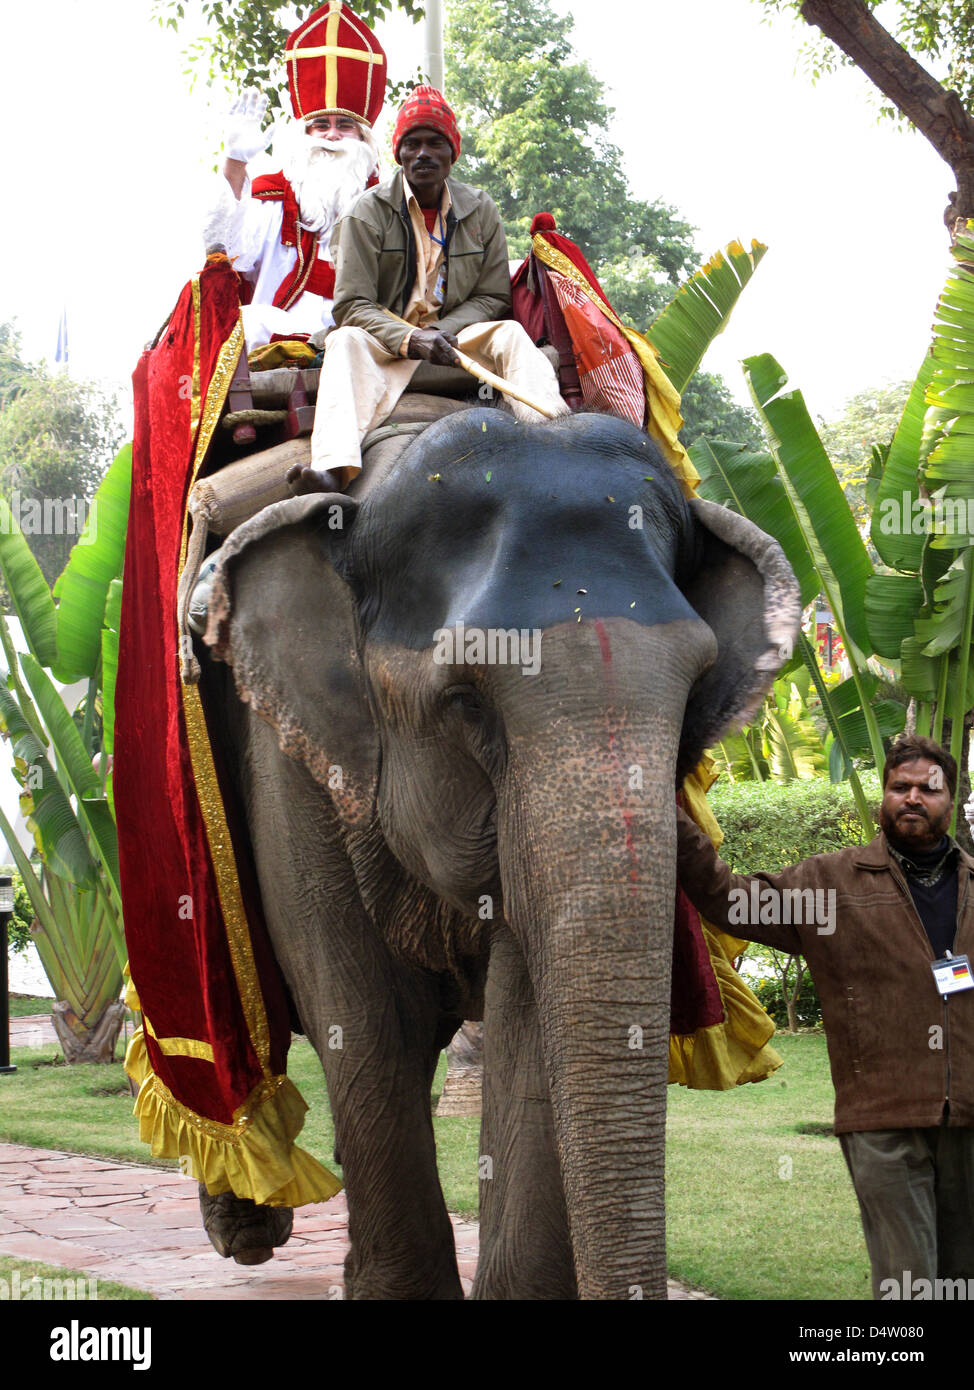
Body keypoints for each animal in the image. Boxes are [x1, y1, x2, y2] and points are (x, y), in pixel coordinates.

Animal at [195, 405, 800, 1300]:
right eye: (466, 702)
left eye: (697, 692)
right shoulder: (287, 761)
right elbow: (359, 1013)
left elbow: (528, 1013)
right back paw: (245, 1222)